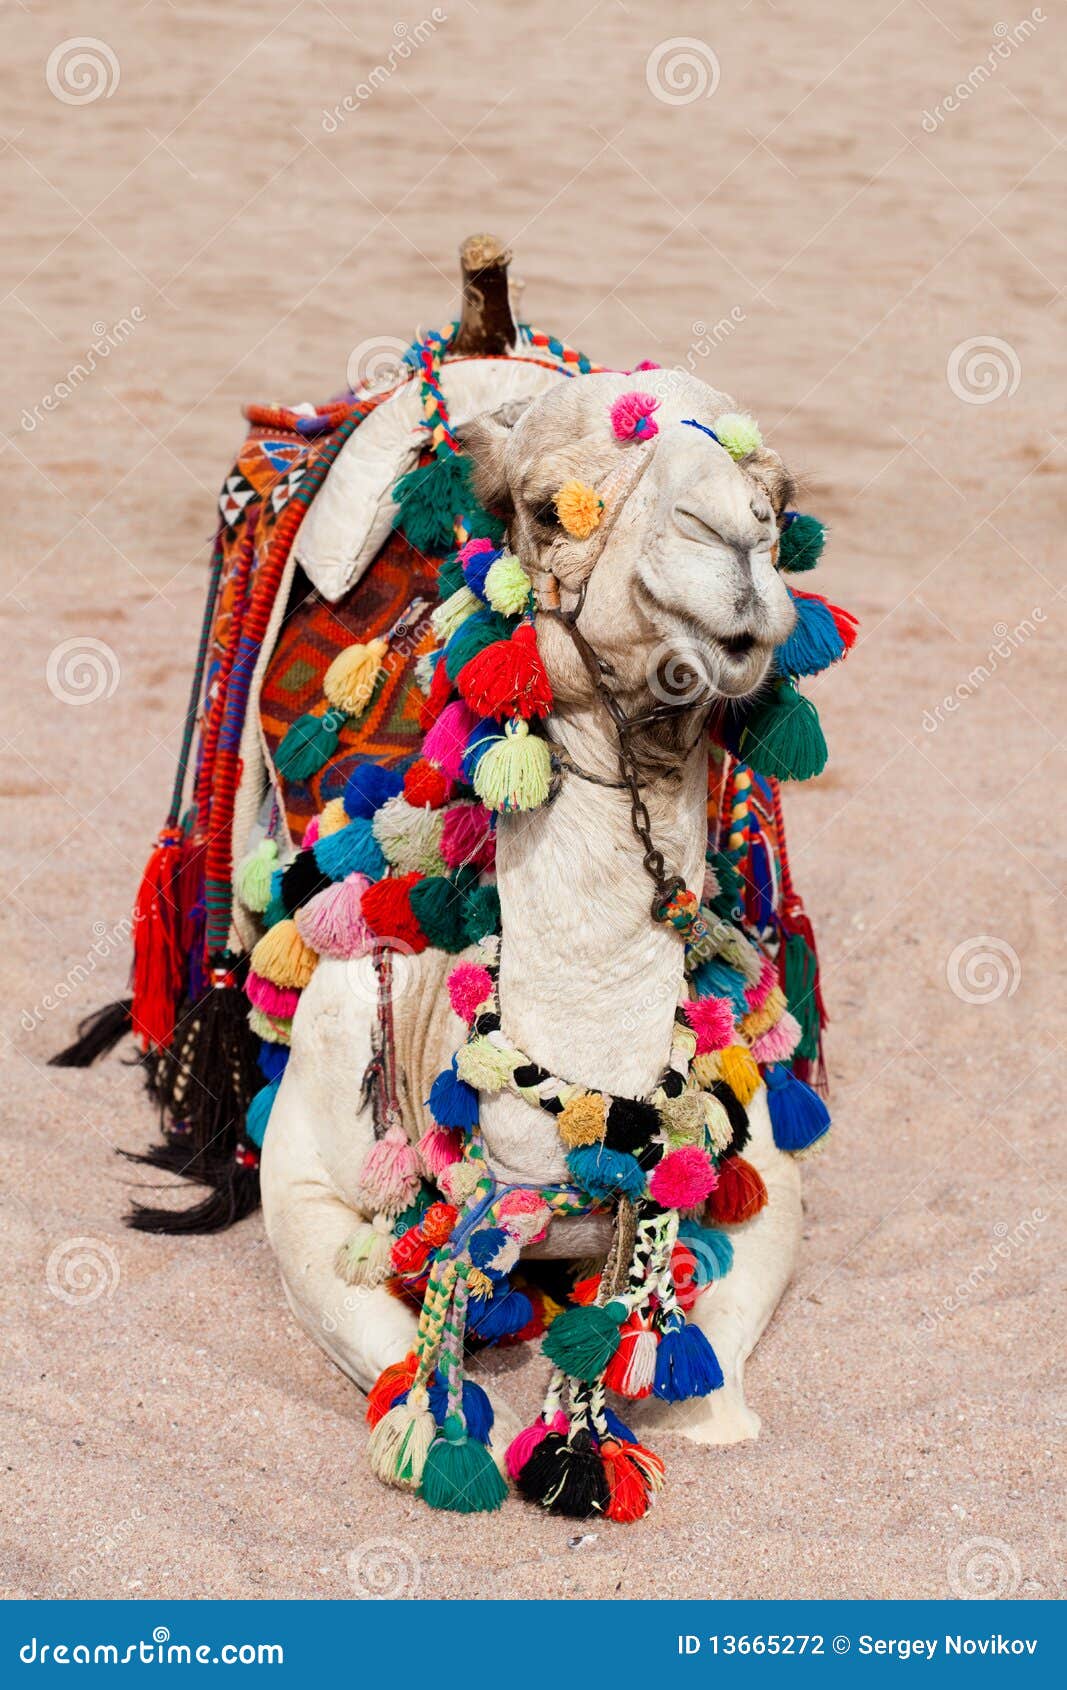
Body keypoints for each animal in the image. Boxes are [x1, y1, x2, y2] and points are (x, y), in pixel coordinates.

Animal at [259, 367, 807, 1455]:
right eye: (551, 507)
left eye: (774, 501)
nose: (730, 535)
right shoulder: (300, 1180)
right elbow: (395, 1355)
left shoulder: (768, 1177)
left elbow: (714, 1366)